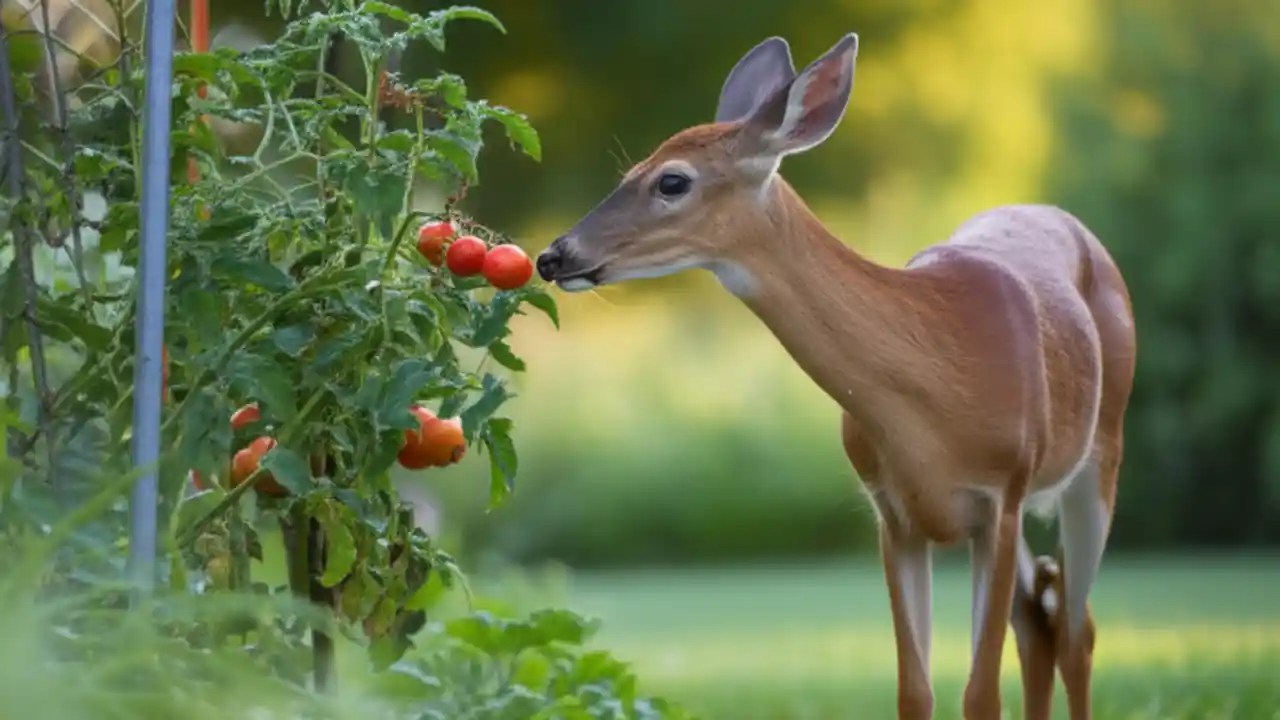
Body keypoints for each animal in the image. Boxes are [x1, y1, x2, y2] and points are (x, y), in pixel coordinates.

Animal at [535, 32, 1135, 720]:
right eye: (627, 173)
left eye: (672, 180)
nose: (554, 255)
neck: (935, 401)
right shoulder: (893, 513)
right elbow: (915, 691)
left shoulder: (1000, 498)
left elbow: (980, 695)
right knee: (1041, 616)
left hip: (1099, 455)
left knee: (1077, 629)